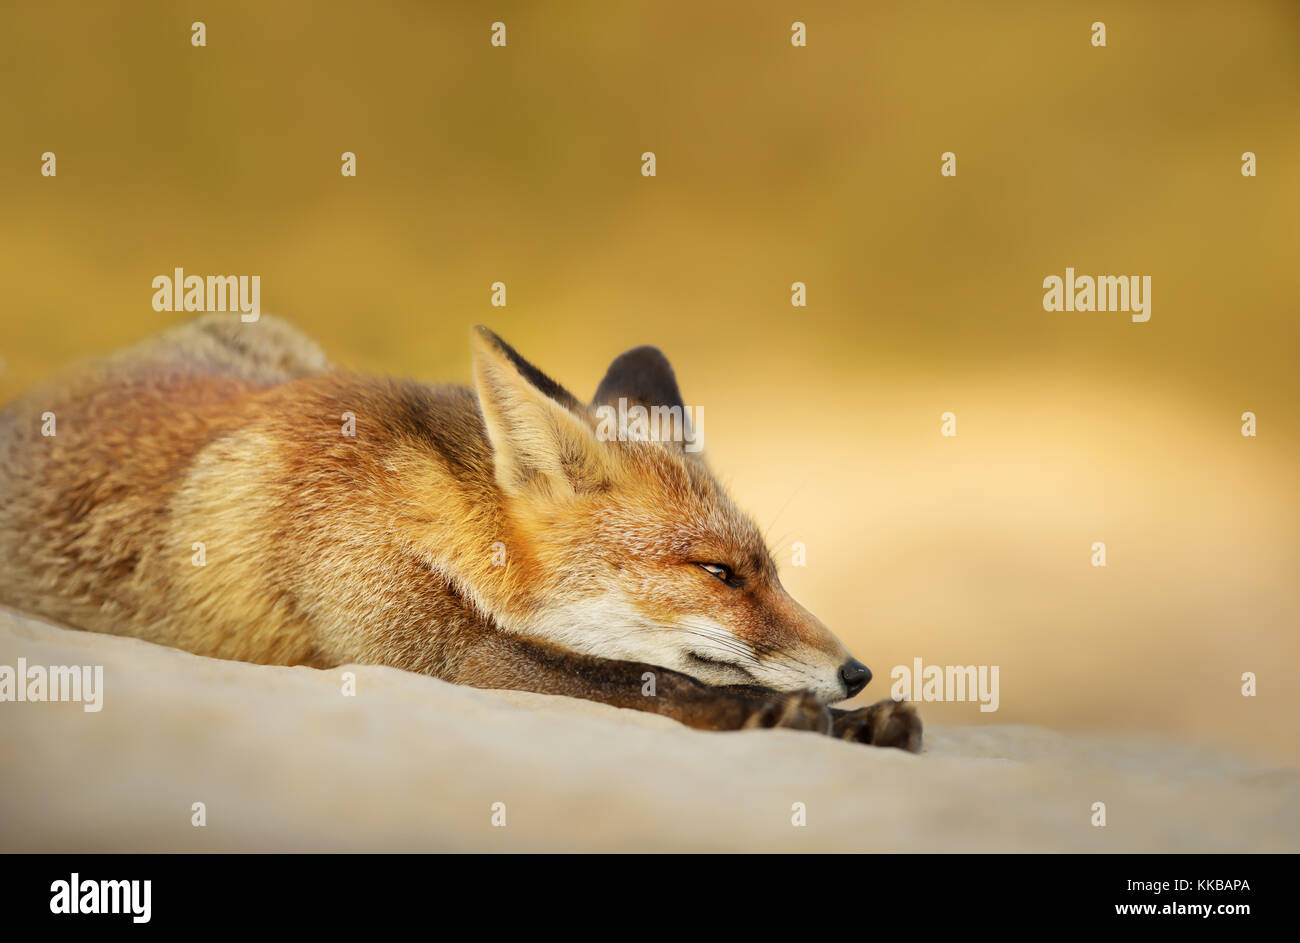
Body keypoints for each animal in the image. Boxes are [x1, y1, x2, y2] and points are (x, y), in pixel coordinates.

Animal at [0, 315, 921, 750]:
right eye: (721, 572)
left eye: (772, 570)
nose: (856, 668)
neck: (428, 512)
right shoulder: (429, 652)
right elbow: (652, 681)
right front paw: (788, 714)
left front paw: (856, 715)